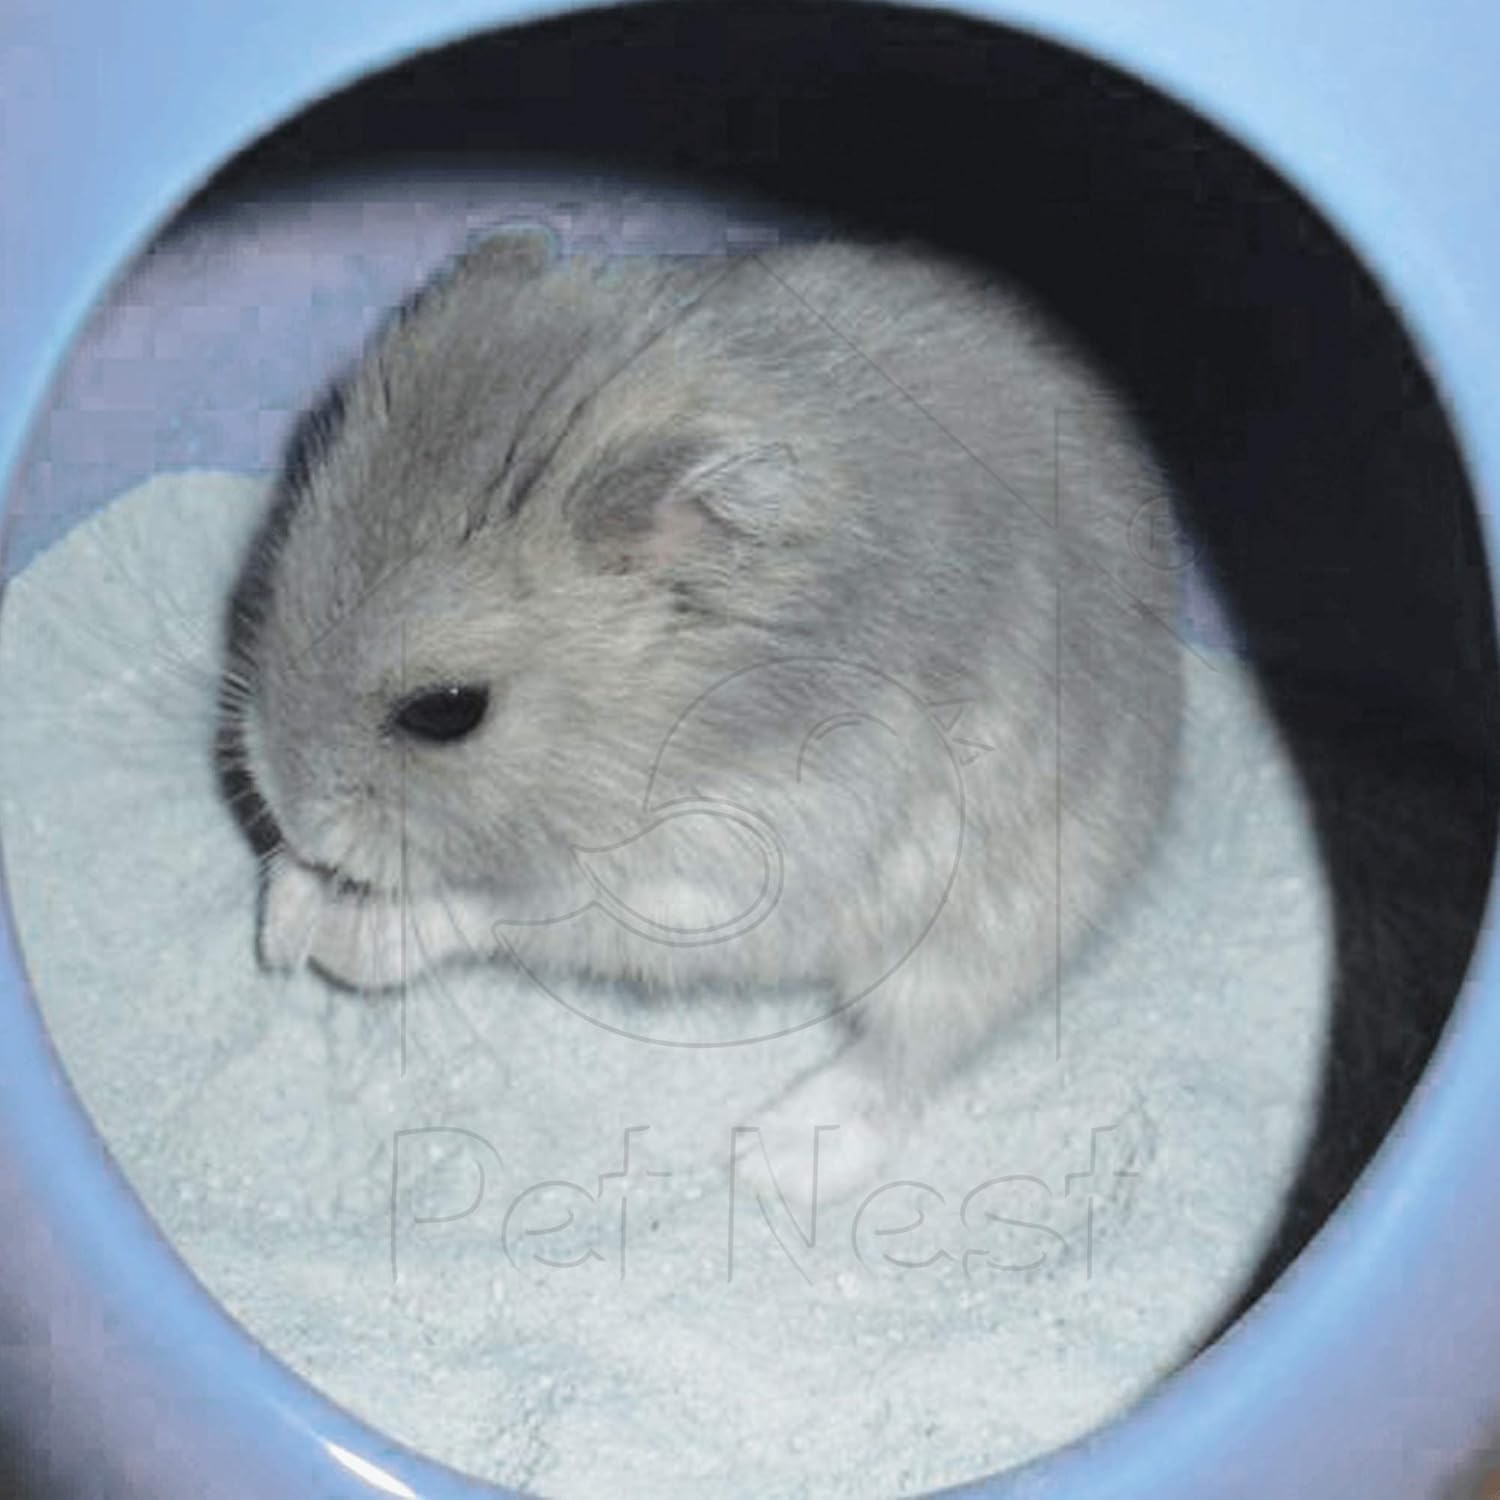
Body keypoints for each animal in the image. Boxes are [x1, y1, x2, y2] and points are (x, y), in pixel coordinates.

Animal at [221, 230, 1183, 1203]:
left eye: (446, 712)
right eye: (277, 577)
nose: (286, 805)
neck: (675, 734)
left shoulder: (715, 874)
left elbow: (488, 907)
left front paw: (335, 941)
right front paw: (282, 923)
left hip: (983, 931)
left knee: (908, 1057)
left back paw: (770, 1158)